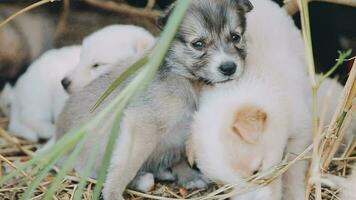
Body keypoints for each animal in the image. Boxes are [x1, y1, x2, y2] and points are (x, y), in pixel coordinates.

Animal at [55, 0, 253, 199]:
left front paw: (188, 175)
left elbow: (180, 157)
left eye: (235, 37)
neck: (185, 78)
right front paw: (113, 192)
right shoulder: (142, 124)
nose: (229, 68)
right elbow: (124, 166)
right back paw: (143, 180)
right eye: (198, 44)